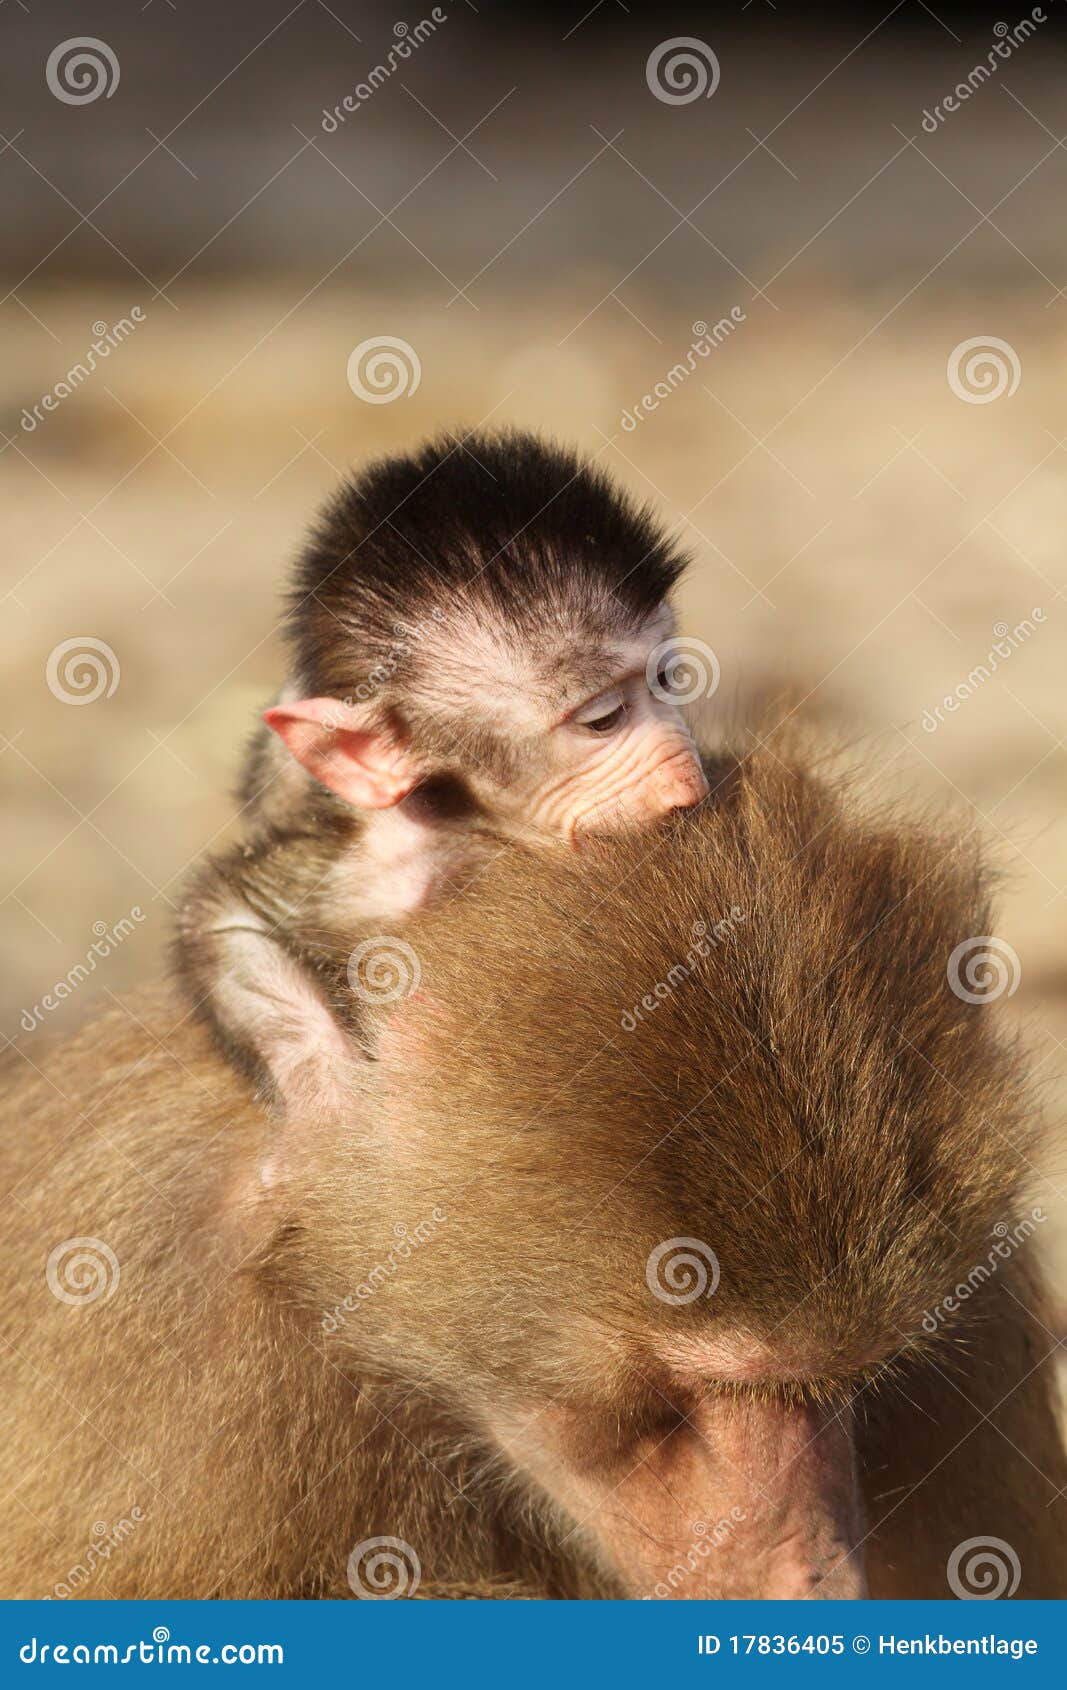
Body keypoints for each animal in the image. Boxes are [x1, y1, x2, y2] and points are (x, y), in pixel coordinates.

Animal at [175, 429, 710, 1109]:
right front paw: (330, 1090)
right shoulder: (382, 868)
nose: (686, 785)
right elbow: (225, 908)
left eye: (668, 679)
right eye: (604, 720)